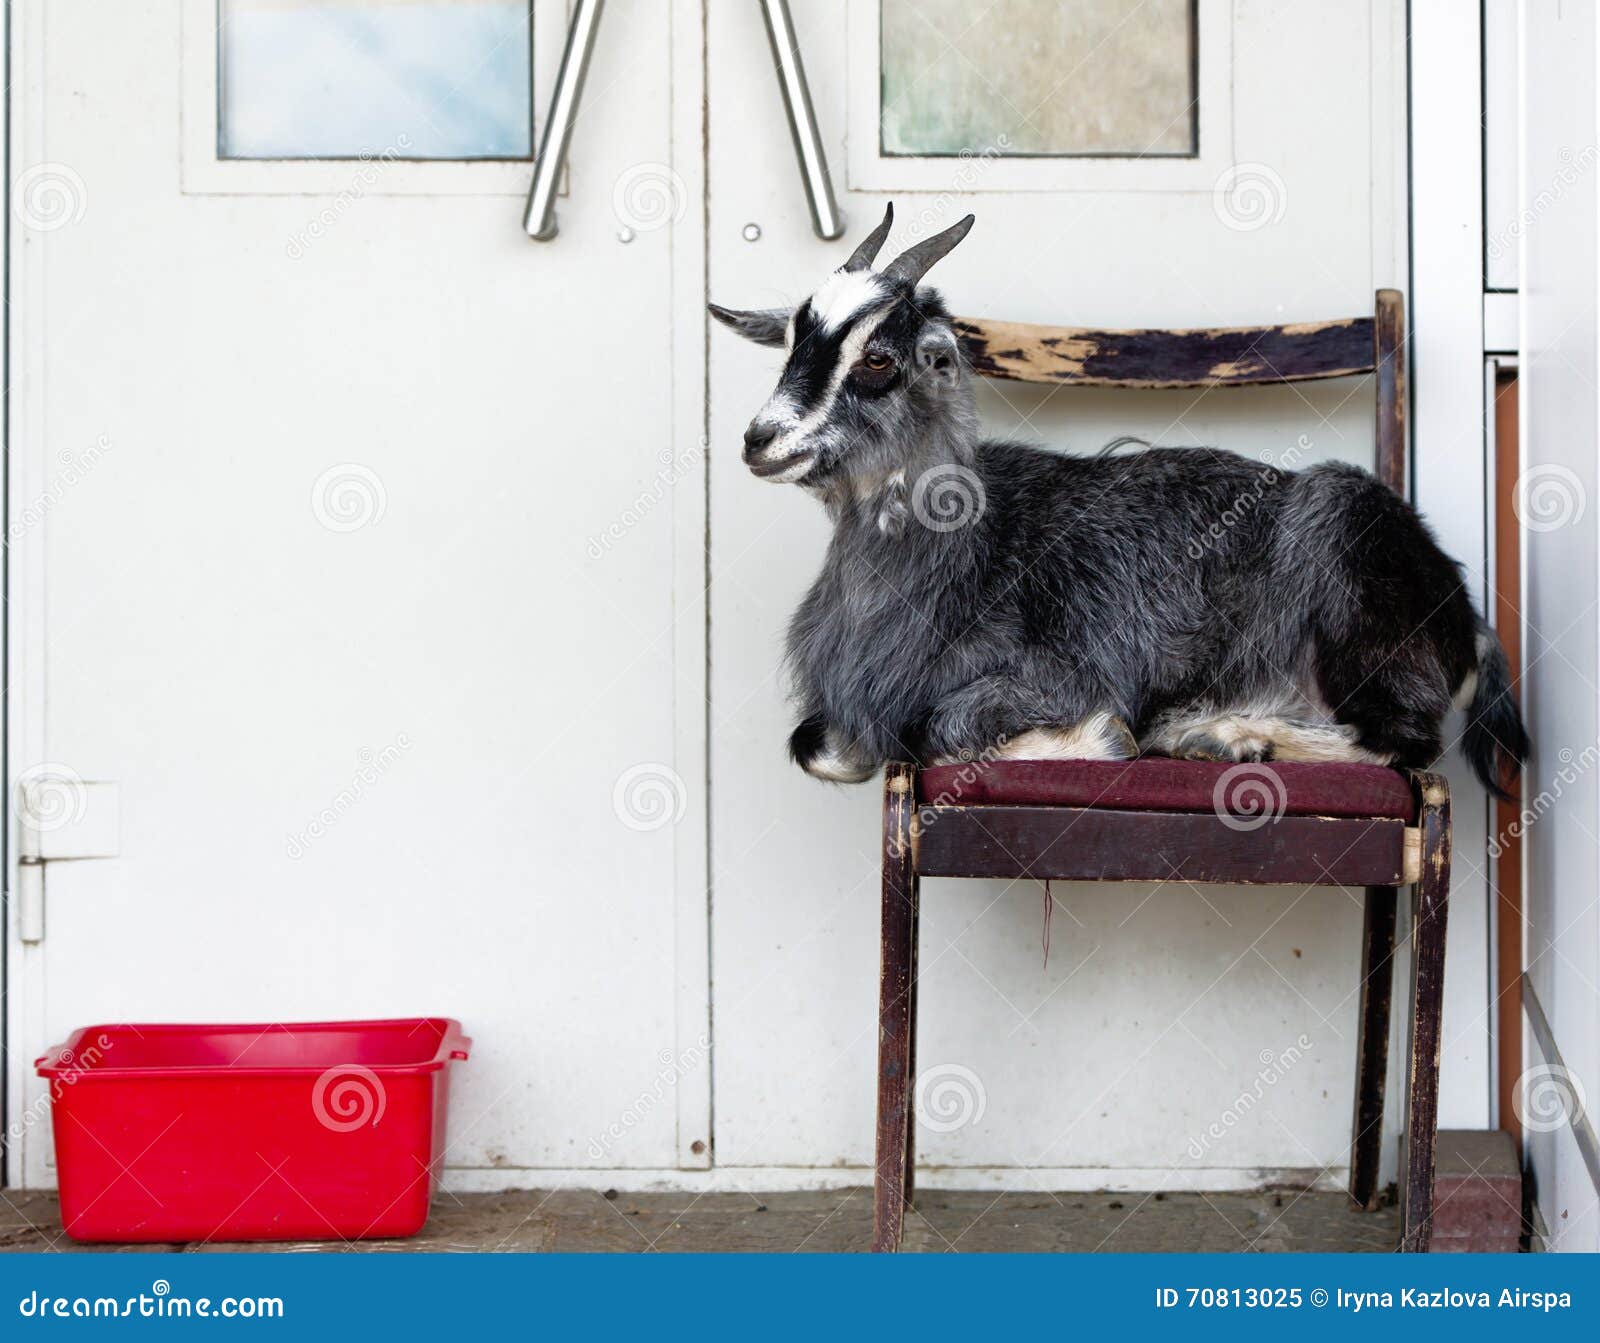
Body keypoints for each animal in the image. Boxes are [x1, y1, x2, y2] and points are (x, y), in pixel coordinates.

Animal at [710, 205, 1529, 797]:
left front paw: (1103, 736)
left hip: (1352, 595)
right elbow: (818, 745)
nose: (759, 439)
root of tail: (1462, 611)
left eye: (879, 357)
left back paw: (1221, 735)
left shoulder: (1059, 674)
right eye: (794, 335)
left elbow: (939, 728)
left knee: (1404, 744)